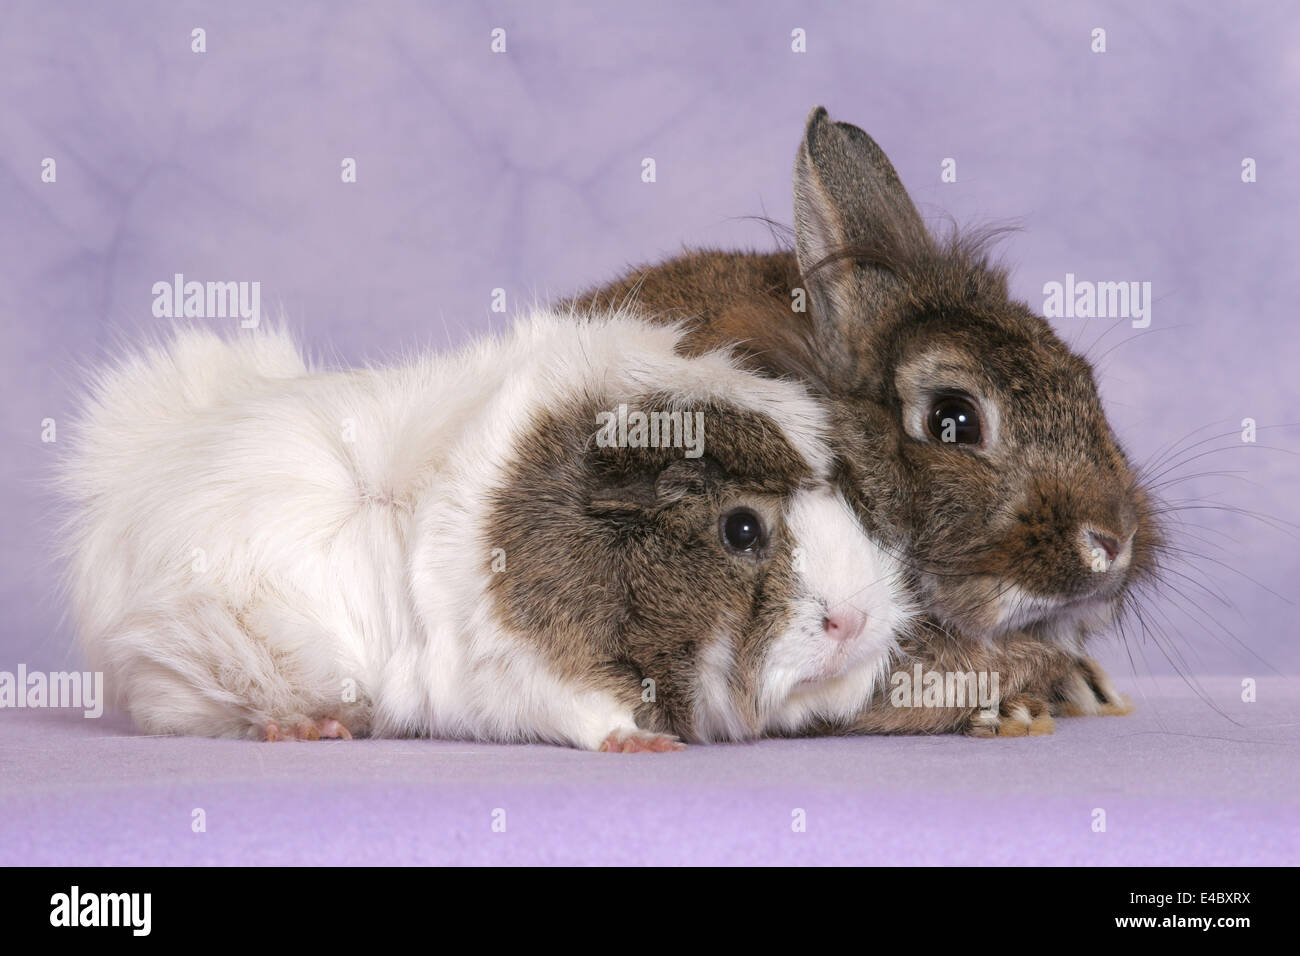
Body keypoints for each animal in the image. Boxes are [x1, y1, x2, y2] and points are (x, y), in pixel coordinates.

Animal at [54, 309, 916, 750]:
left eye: (850, 507)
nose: (857, 620)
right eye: (741, 528)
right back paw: (315, 729)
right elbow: (587, 715)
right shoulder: (525, 669)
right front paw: (643, 743)